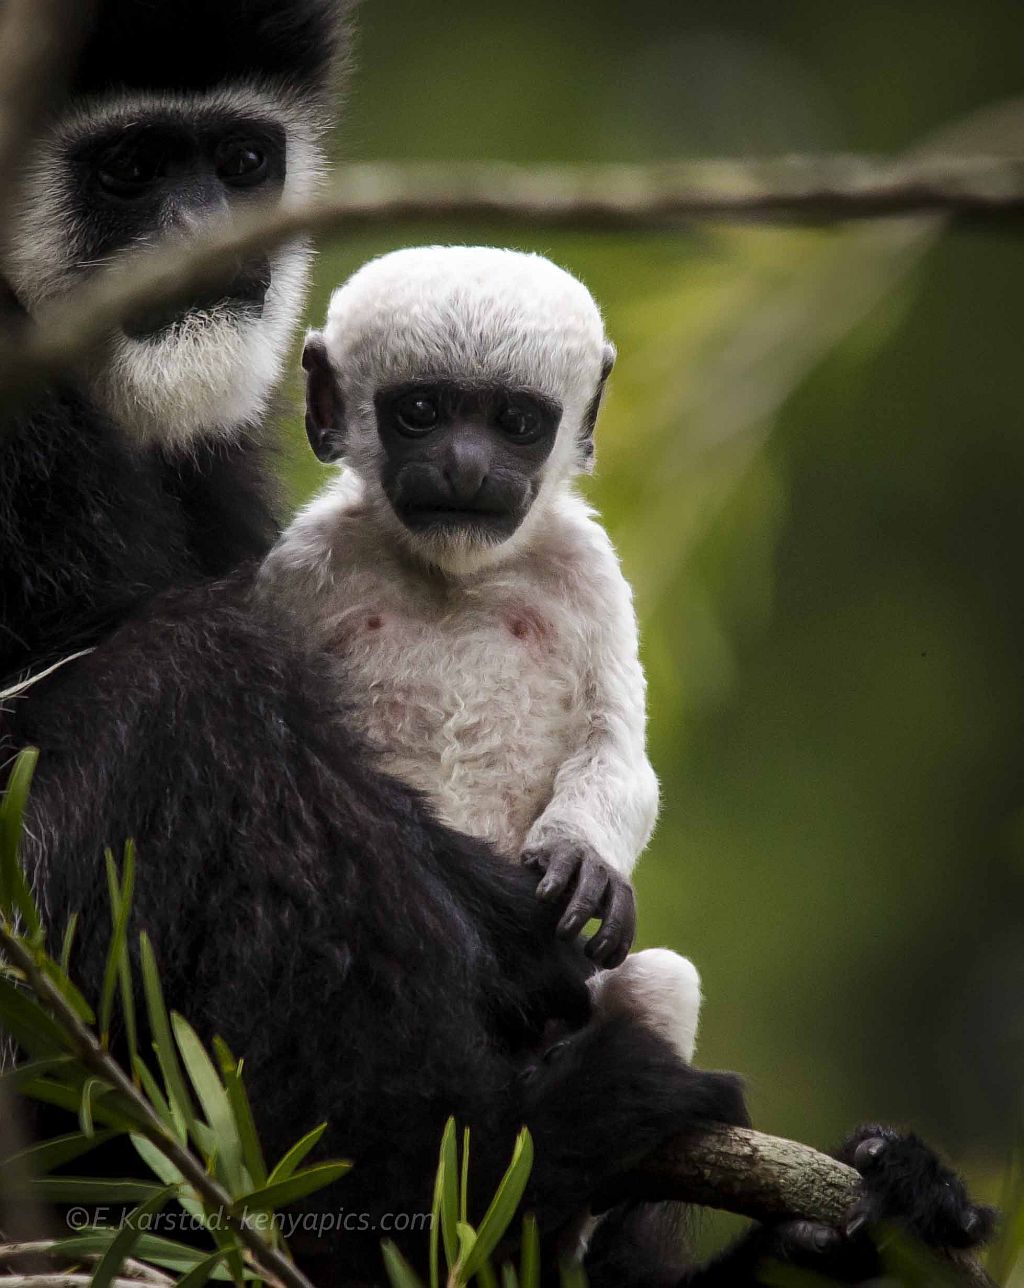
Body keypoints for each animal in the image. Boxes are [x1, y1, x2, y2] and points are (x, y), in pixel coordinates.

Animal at [257, 245, 703, 1064]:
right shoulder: (298, 572)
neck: (454, 578)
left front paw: (581, 856)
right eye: (421, 412)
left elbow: (617, 751)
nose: (465, 467)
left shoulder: (590, 571)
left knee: (663, 980)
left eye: (517, 423)